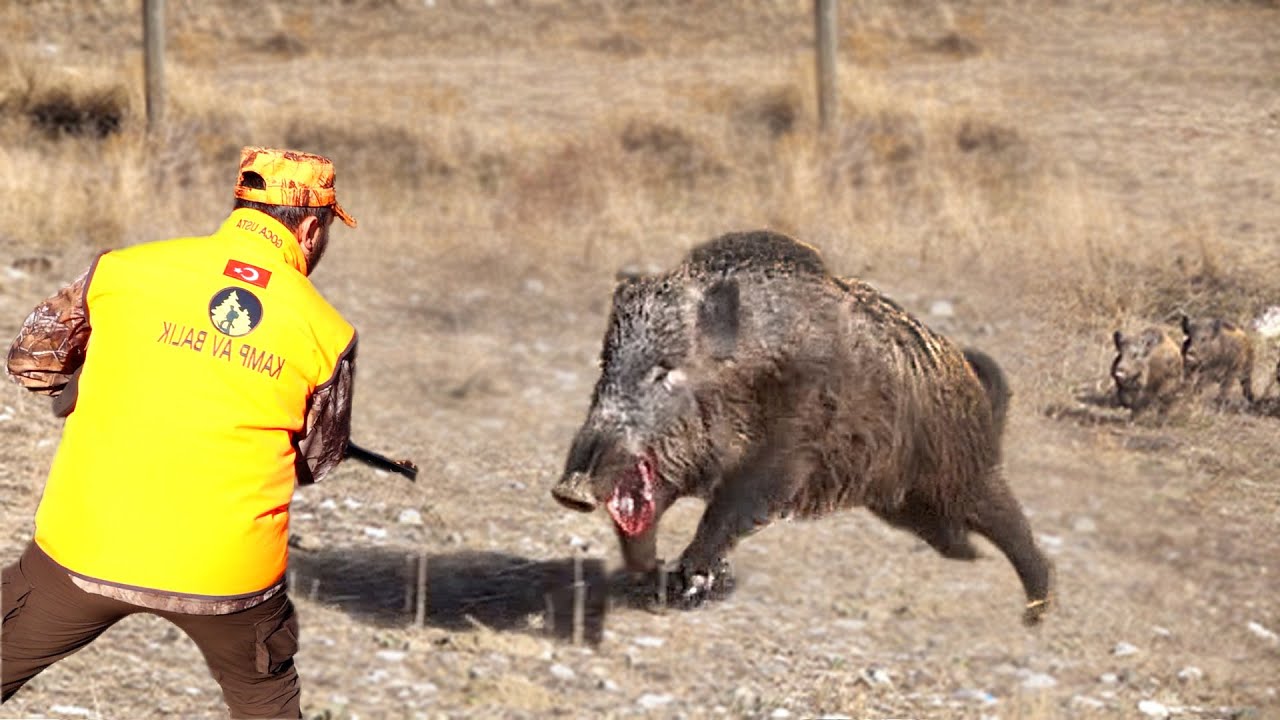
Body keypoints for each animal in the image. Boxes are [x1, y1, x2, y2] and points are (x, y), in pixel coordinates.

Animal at [552, 230, 1053, 625]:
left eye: (666, 369)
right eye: (605, 362)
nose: (569, 489)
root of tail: (977, 392)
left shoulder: (786, 454)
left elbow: (728, 511)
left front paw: (688, 579)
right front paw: (660, 582)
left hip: (964, 477)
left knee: (1012, 525)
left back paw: (1036, 611)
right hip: (905, 506)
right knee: (957, 539)